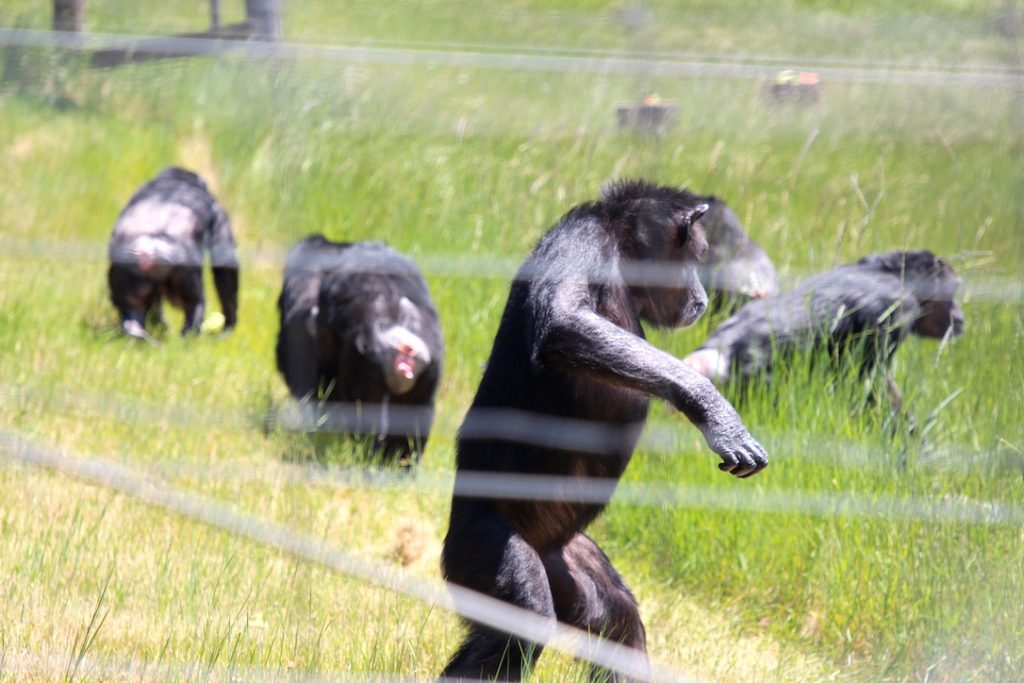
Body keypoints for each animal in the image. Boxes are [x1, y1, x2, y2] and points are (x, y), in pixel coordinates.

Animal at [107, 167, 238, 339]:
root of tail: (147, 252)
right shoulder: (219, 214)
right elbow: (226, 265)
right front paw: (229, 326)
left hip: (123, 272)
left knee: (132, 309)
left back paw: (139, 333)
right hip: (182, 271)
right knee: (194, 303)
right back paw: (188, 335)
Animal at [275, 235, 443, 463]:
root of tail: (404, 348)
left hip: (365, 367)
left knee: (364, 412)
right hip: (423, 374)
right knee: (414, 414)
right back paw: (400, 462)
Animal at [440, 180, 767, 681]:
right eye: (698, 255)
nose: (702, 295)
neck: (621, 254)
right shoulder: (580, 243)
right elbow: (565, 321)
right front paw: (712, 408)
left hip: (567, 557)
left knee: (617, 618)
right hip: (480, 543)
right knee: (522, 622)